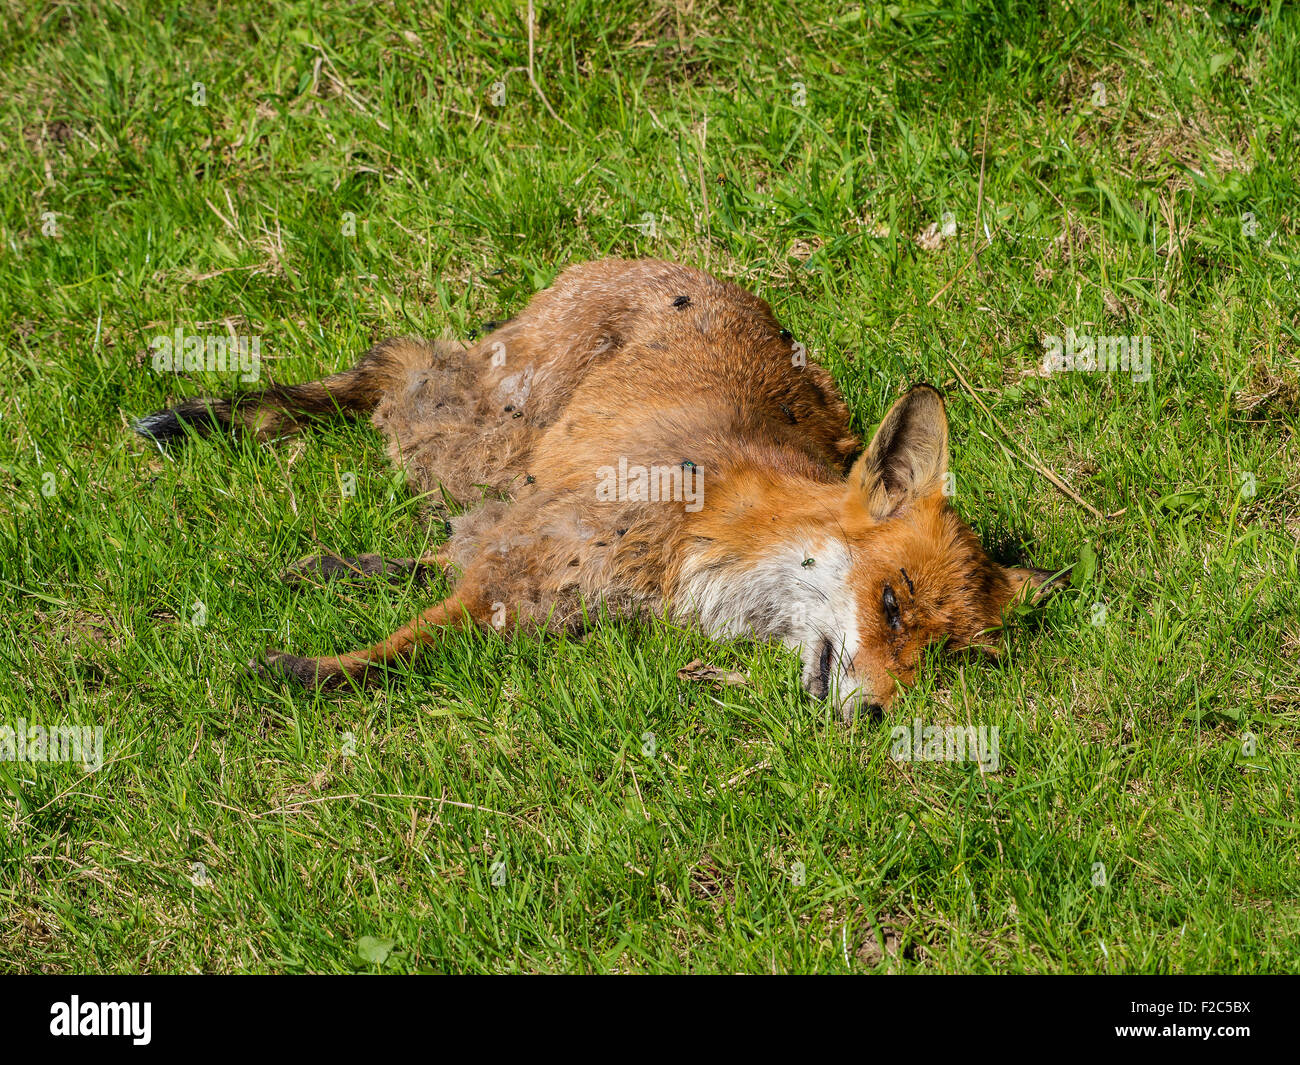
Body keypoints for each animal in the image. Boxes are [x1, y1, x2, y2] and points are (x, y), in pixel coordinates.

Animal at [134, 257, 1062, 718]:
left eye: (945, 658)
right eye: (891, 605)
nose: (874, 716)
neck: (706, 546)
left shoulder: (557, 578)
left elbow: (443, 604)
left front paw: (324, 632)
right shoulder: (546, 553)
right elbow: (407, 643)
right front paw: (311, 670)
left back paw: (329, 564)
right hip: (487, 430)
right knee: (391, 365)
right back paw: (210, 417)